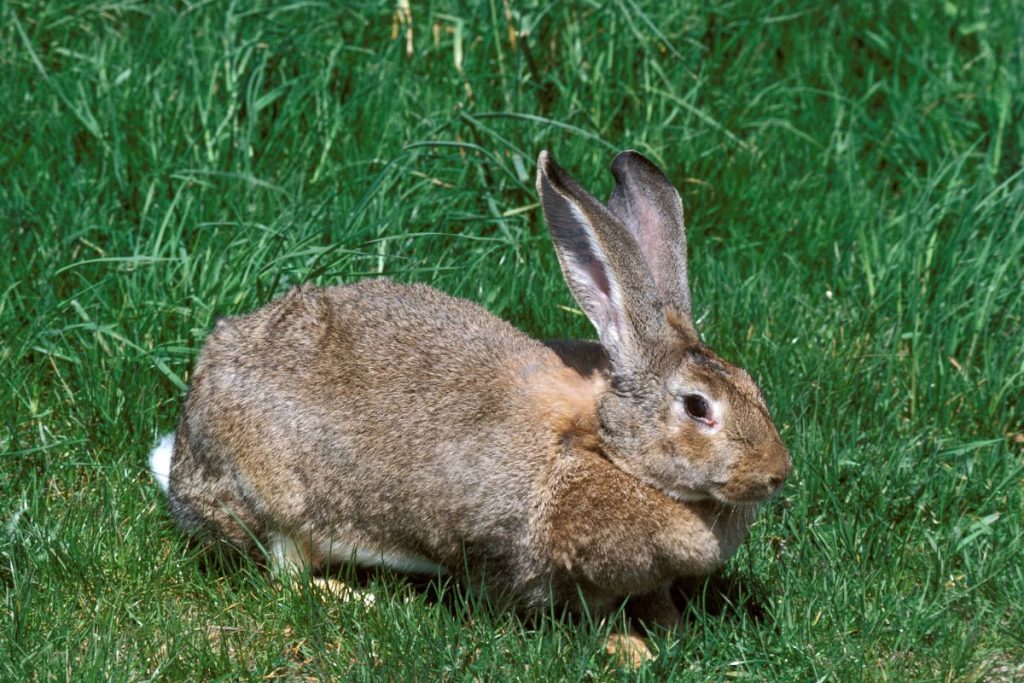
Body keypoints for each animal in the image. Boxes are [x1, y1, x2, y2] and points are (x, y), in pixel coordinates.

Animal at [150, 150, 791, 633]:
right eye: (697, 407)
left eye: (753, 386)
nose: (777, 473)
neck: (605, 444)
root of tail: (182, 461)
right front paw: (626, 647)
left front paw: (668, 631)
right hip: (277, 499)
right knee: (288, 575)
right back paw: (369, 599)